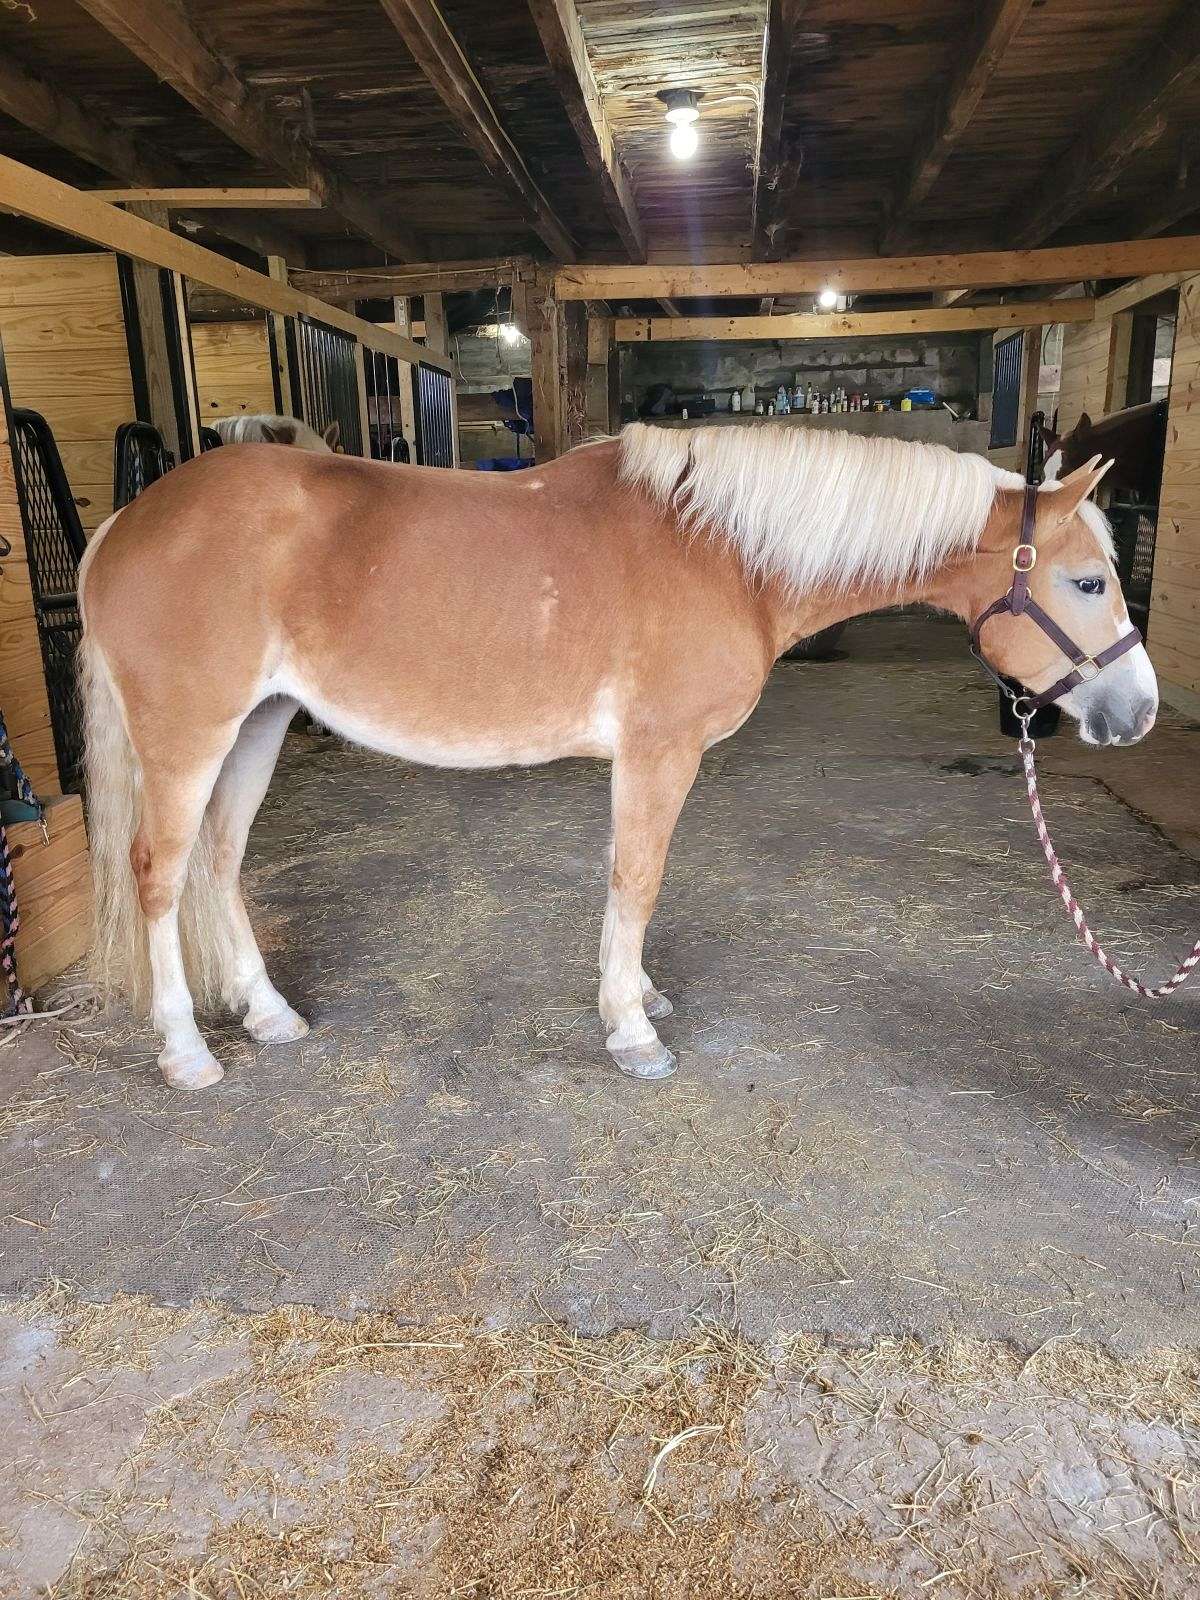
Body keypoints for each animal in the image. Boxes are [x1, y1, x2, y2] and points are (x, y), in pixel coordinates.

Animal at [77, 423, 1158, 1090]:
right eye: (1087, 580)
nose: (1141, 710)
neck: (725, 554)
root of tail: (125, 524)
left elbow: (623, 881)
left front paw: (635, 995)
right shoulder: (659, 751)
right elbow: (638, 879)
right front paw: (632, 1032)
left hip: (259, 724)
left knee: (220, 863)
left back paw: (269, 1015)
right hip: (189, 735)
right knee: (159, 875)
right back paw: (187, 1053)